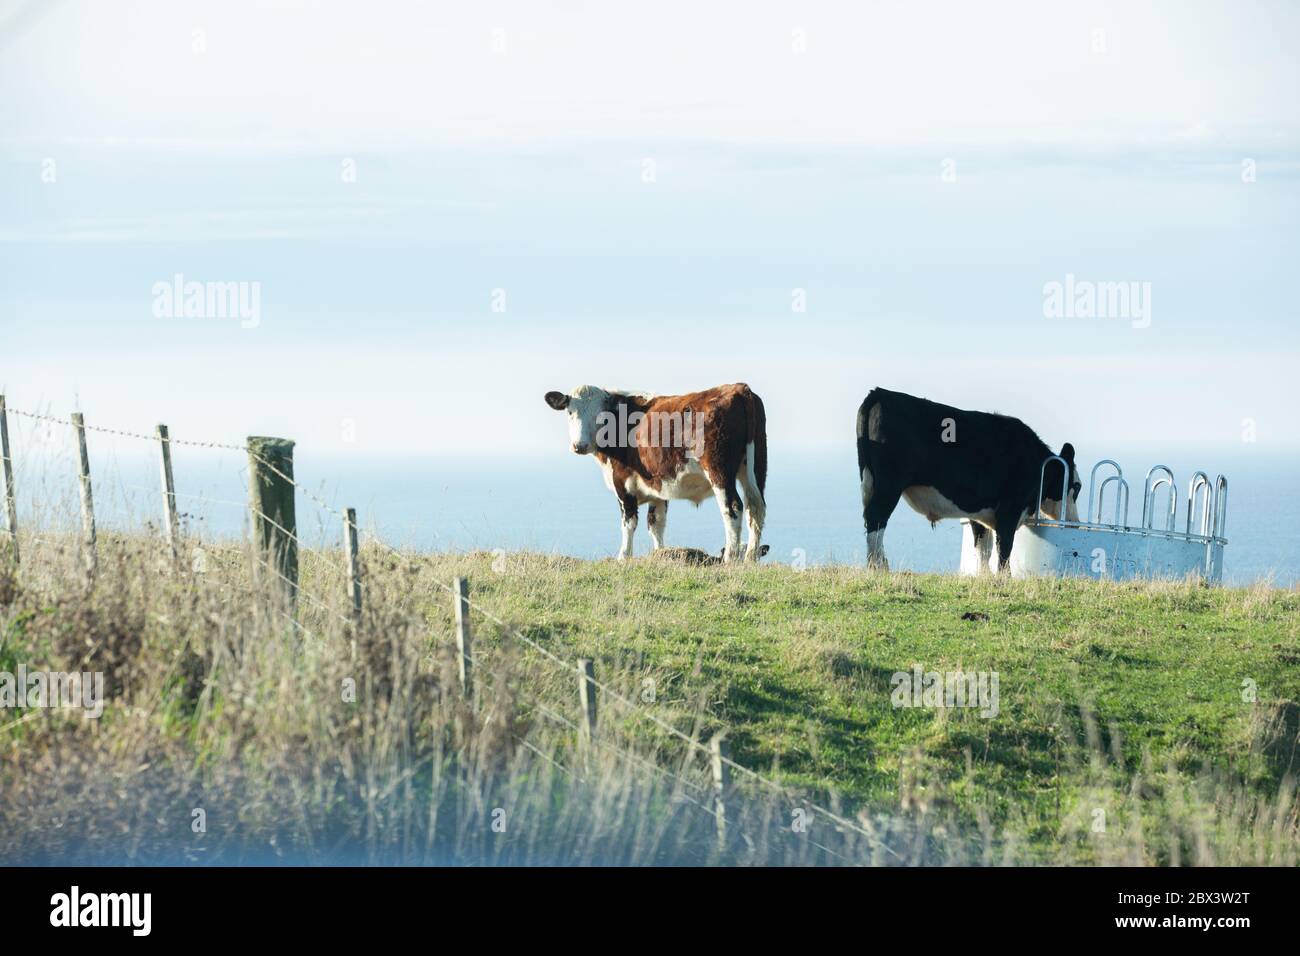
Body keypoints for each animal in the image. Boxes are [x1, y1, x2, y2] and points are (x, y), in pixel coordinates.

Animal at [544, 383, 767, 562]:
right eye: (570, 412)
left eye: (600, 415)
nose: (579, 445)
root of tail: (738, 388)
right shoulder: (658, 488)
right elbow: (656, 524)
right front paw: (661, 554)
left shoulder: (623, 483)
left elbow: (629, 522)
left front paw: (623, 557)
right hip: (755, 467)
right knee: (756, 508)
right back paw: (750, 557)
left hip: (719, 472)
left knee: (733, 509)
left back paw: (731, 558)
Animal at [855, 387, 1081, 571]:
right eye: (1077, 487)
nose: (1075, 524)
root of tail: (880, 393)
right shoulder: (1010, 509)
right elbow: (1004, 547)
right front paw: (1003, 578)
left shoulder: (980, 511)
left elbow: (983, 549)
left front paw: (984, 577)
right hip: (888, 486)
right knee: (876, 518)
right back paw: (878, 567)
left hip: (869, 481)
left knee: (870, 519)